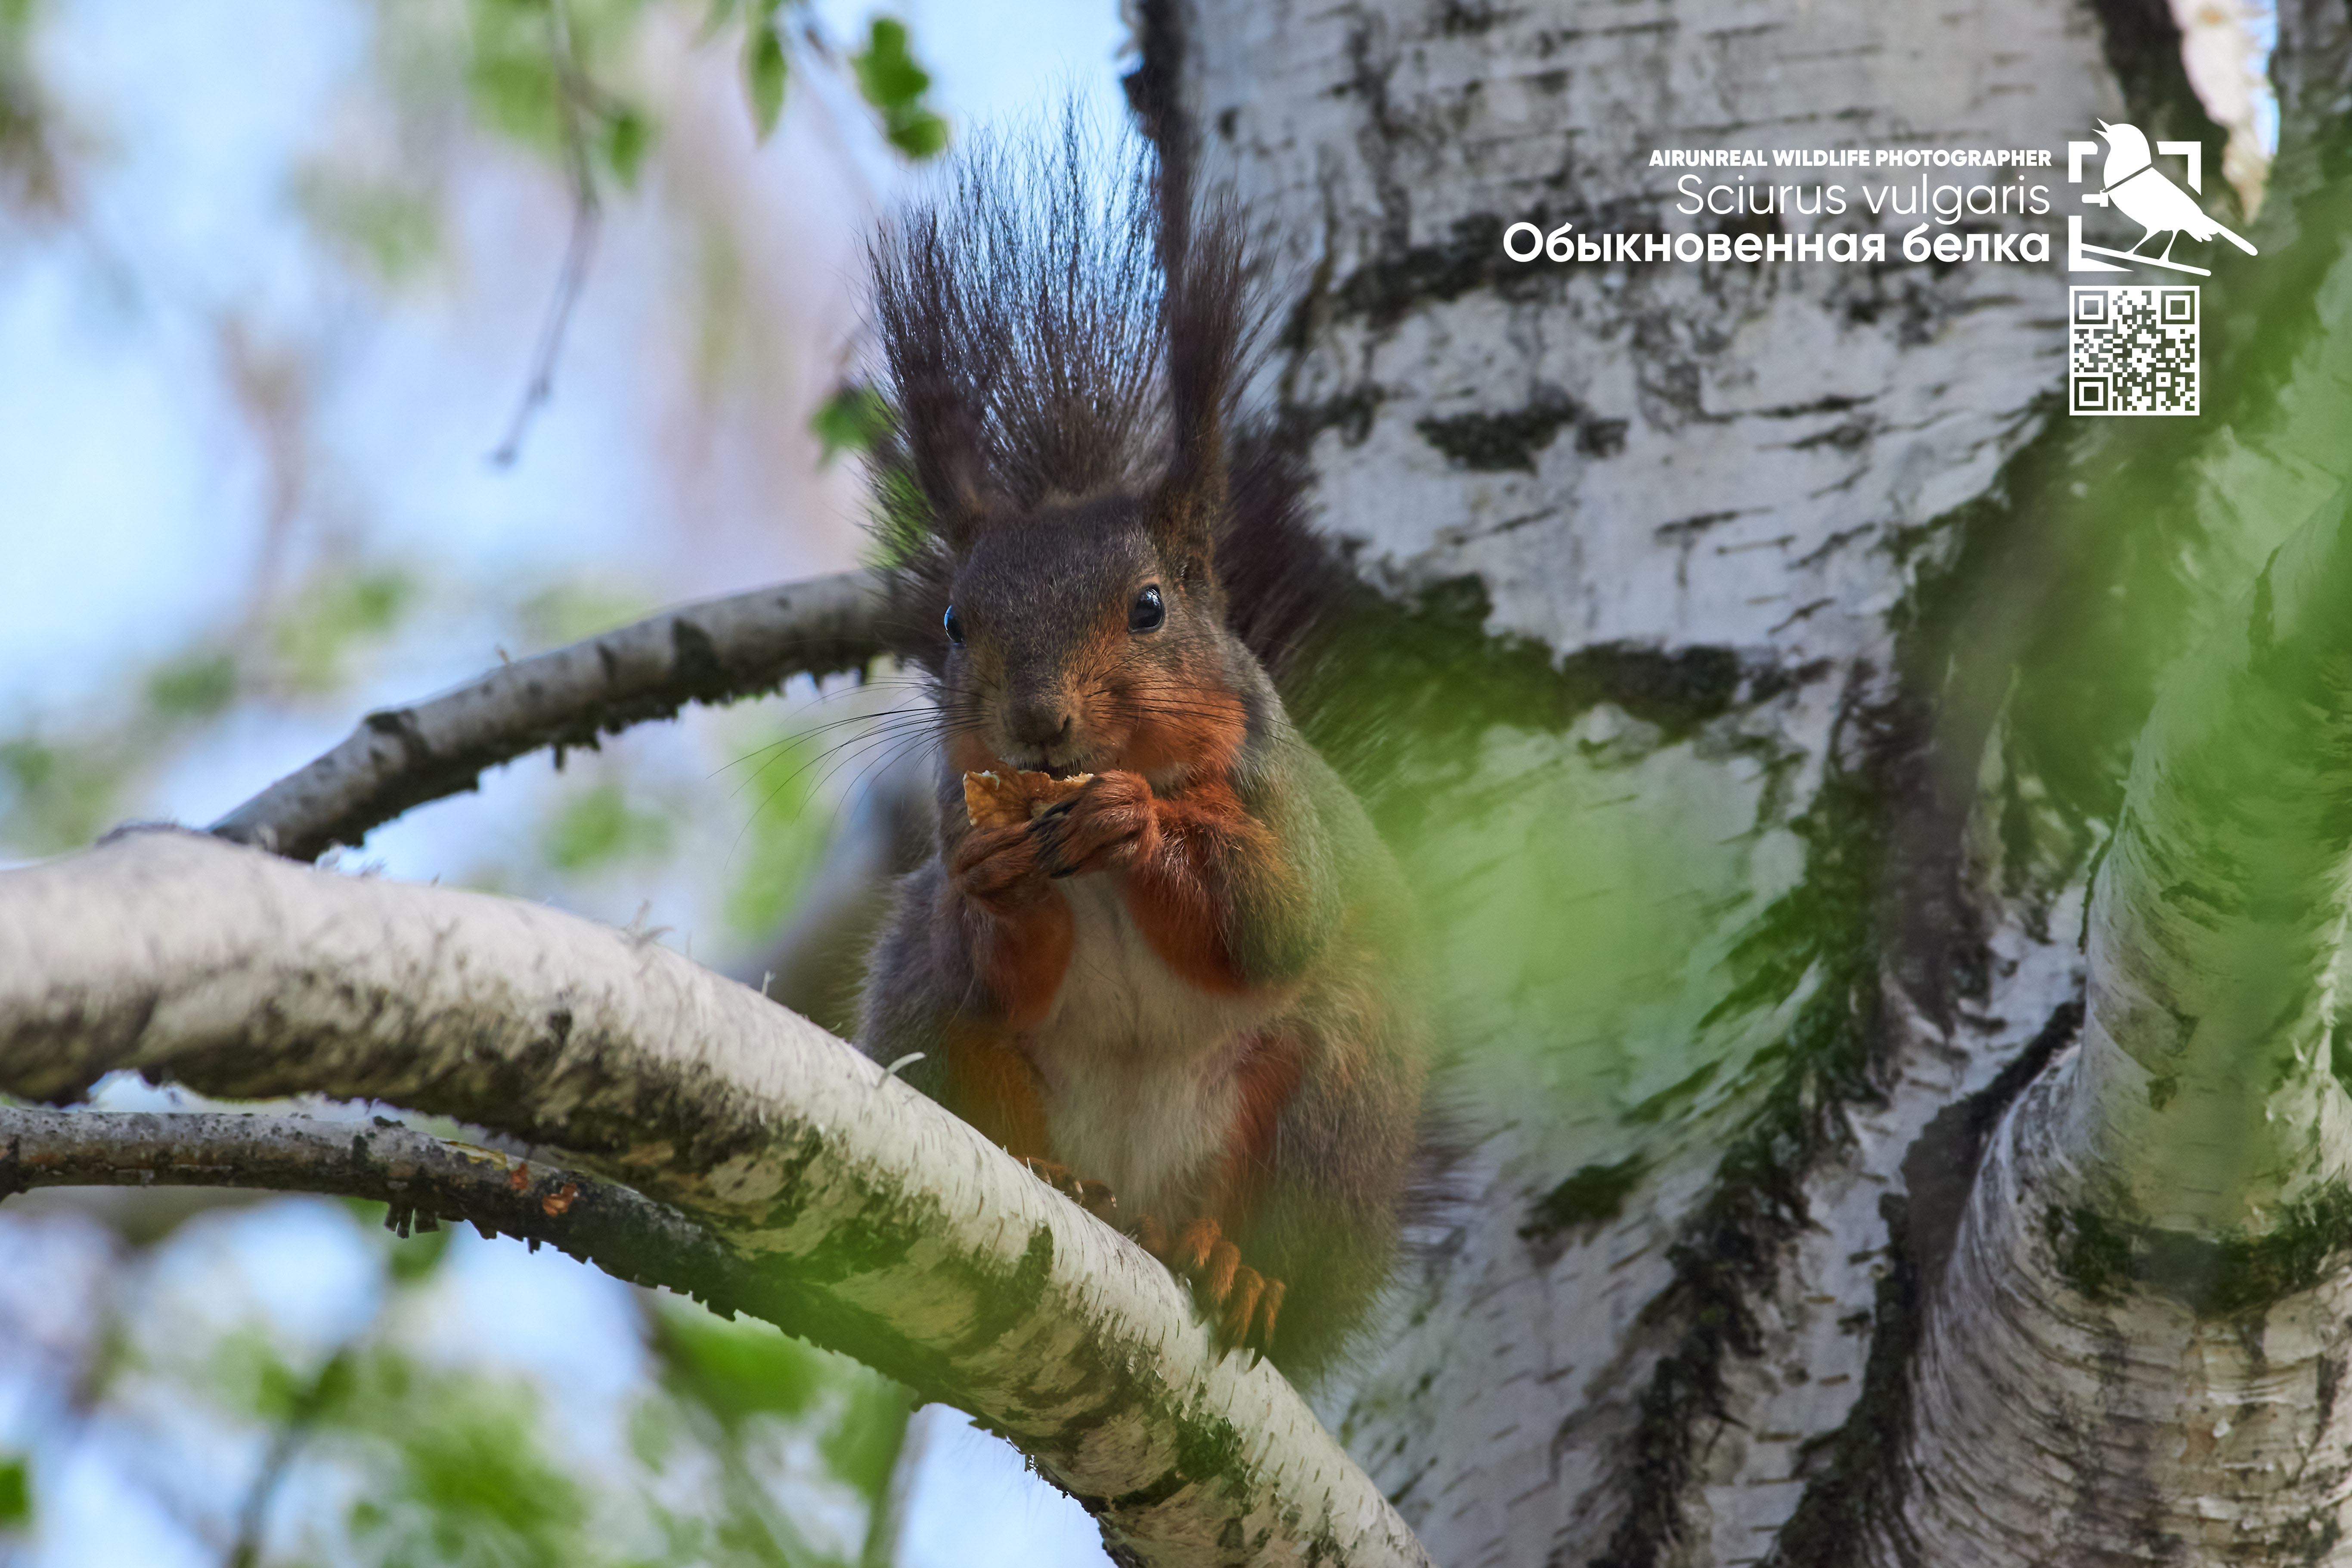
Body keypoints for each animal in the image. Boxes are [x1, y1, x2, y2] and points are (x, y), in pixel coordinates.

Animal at [851, 126, 1430, 1382]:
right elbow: (998, 957)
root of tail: (1144, 1205)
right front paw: (1000, 884)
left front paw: (1140, 823)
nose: (1036, 722)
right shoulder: (954, 818)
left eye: (1150, 608)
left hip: (1332, 1103)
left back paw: (1236, 1268)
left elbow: (1271, 914)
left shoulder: (1284, 805)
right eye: (954, 623)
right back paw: (1054, 1176)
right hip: (928, 1022)